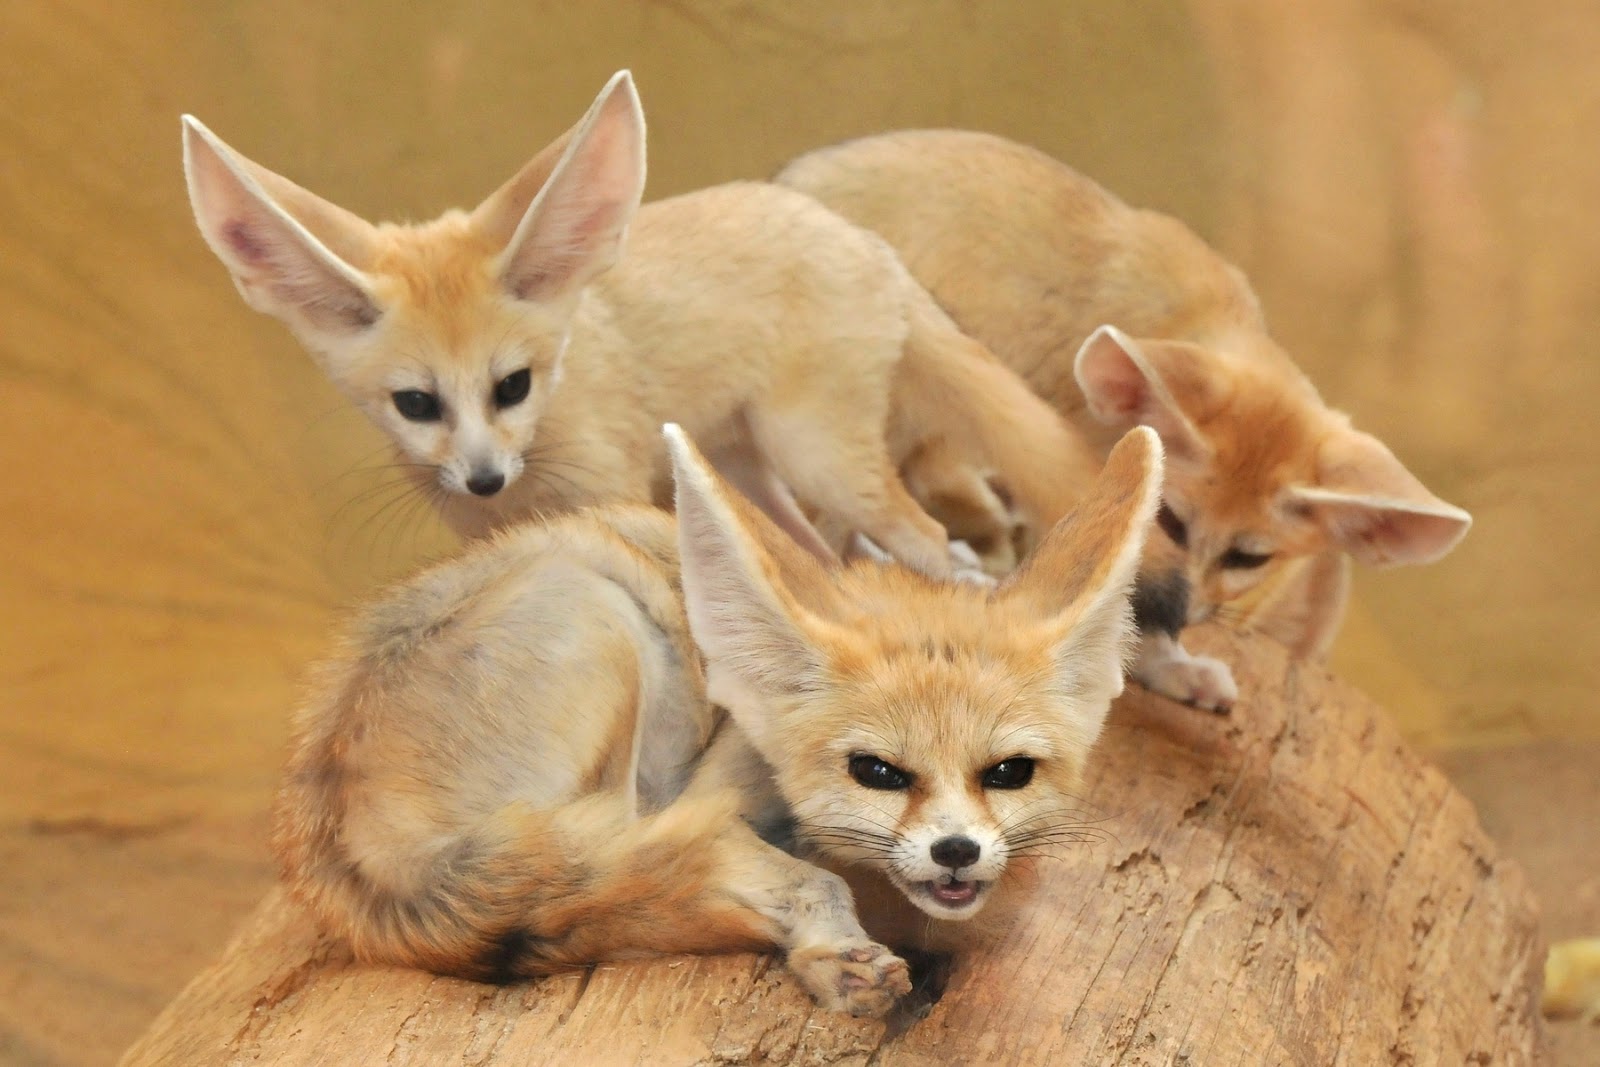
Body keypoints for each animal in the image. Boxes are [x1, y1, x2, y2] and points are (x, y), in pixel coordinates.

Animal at [180, 73, 1093, 582]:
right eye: (415, 403)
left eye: (513, 385)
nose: (484, 479)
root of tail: (866, 243)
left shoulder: (611, 495)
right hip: (744, 462)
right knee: (815, 556)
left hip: (819, 457)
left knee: (925, 538)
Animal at [273, 423, 1165, 1014]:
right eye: (876, 772)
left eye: (1008, 772)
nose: (957, 851)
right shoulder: (711, 794)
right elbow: (802, 875)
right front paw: (830, 954)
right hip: (604, 620)